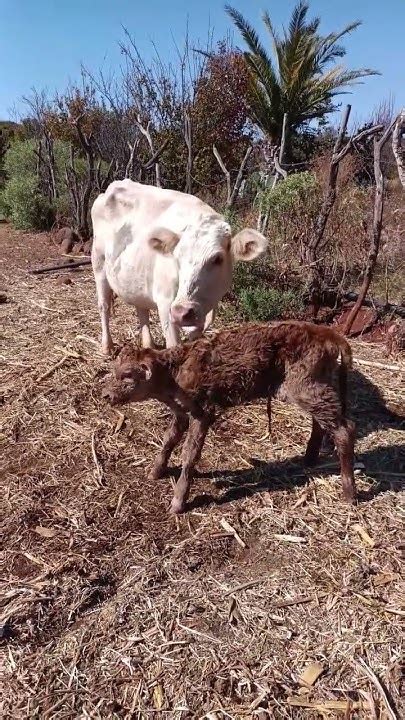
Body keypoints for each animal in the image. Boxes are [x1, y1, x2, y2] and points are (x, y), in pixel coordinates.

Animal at [91, 180, 267, 354]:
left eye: (218, 259)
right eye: (177, 257)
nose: (182, 312)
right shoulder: (166, 304)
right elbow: (173, 344)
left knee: (141, 309)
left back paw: (149, 345)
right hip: (98, 265)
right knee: (104, 306)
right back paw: (107, 346)